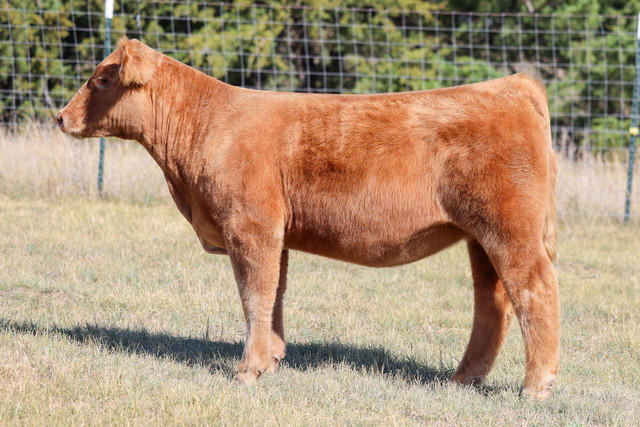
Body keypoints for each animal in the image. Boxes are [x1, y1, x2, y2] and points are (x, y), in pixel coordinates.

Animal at [56, 37, 559, 399]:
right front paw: (273, 357)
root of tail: (511, 85)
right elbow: (274, 293)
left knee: (534, 292)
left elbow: (255, 295)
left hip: (511, 231)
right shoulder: (273, 232)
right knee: (492, 303)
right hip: (480, 236)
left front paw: (248, 370)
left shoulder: (250, 225)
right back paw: (463, 379)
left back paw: (536, 387)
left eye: (102, 79)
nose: (60, 117)